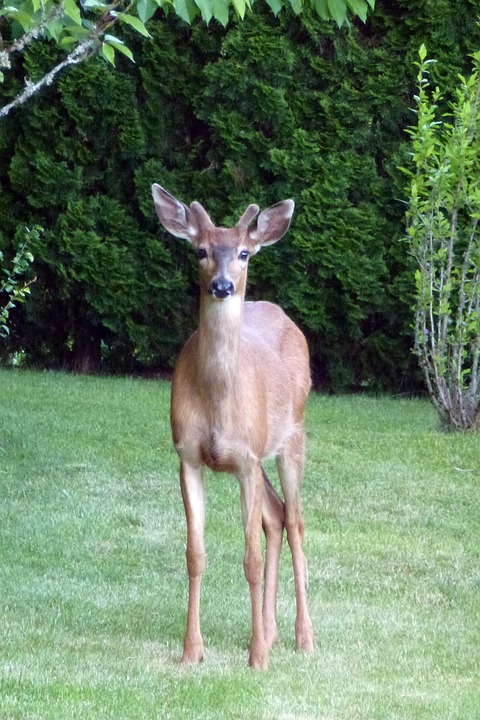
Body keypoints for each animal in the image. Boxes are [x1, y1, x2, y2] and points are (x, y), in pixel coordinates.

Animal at [152, 184, 314, 671]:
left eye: (244, 253)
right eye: (200, 250)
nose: (222, 285)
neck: (218, 401)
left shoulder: (244, 461)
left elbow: (251, 561)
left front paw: (257, 659)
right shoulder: (188, 455)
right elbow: (195, 554)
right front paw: (192, 651)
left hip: (292, 436)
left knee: (295, 520)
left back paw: (302, 637)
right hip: (261, 455)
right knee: (276, 517)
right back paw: (270, 632)